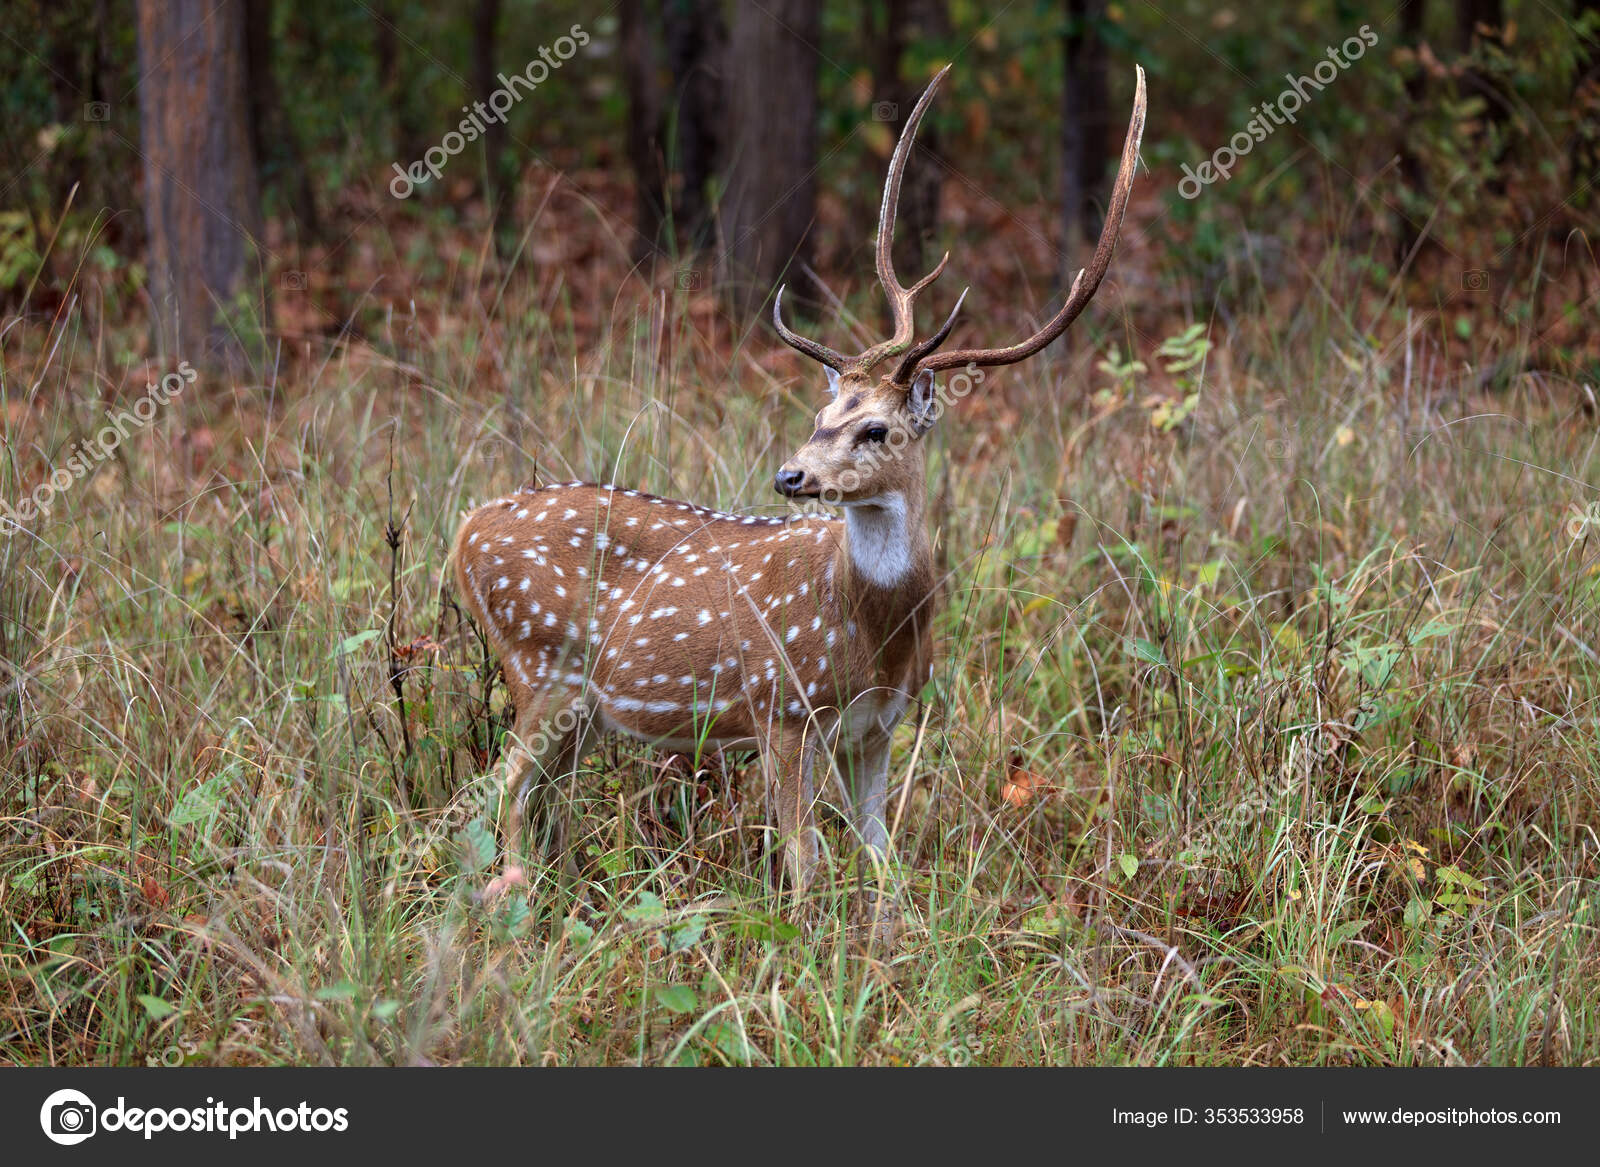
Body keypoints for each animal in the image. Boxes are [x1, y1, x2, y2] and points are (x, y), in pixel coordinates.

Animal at [452, 63, 1147, 911]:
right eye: (821, 414)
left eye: (874, 428)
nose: (791, 474)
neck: (869, 633)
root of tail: (464, 530)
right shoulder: (781, 705)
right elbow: (804, 856)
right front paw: (805, 933)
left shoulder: (881, 723)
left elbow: (882, 856)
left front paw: (887, 932)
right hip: (540, 659)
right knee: (503, 789)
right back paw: (515, 900)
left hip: (579, 702)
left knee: (539, 793)